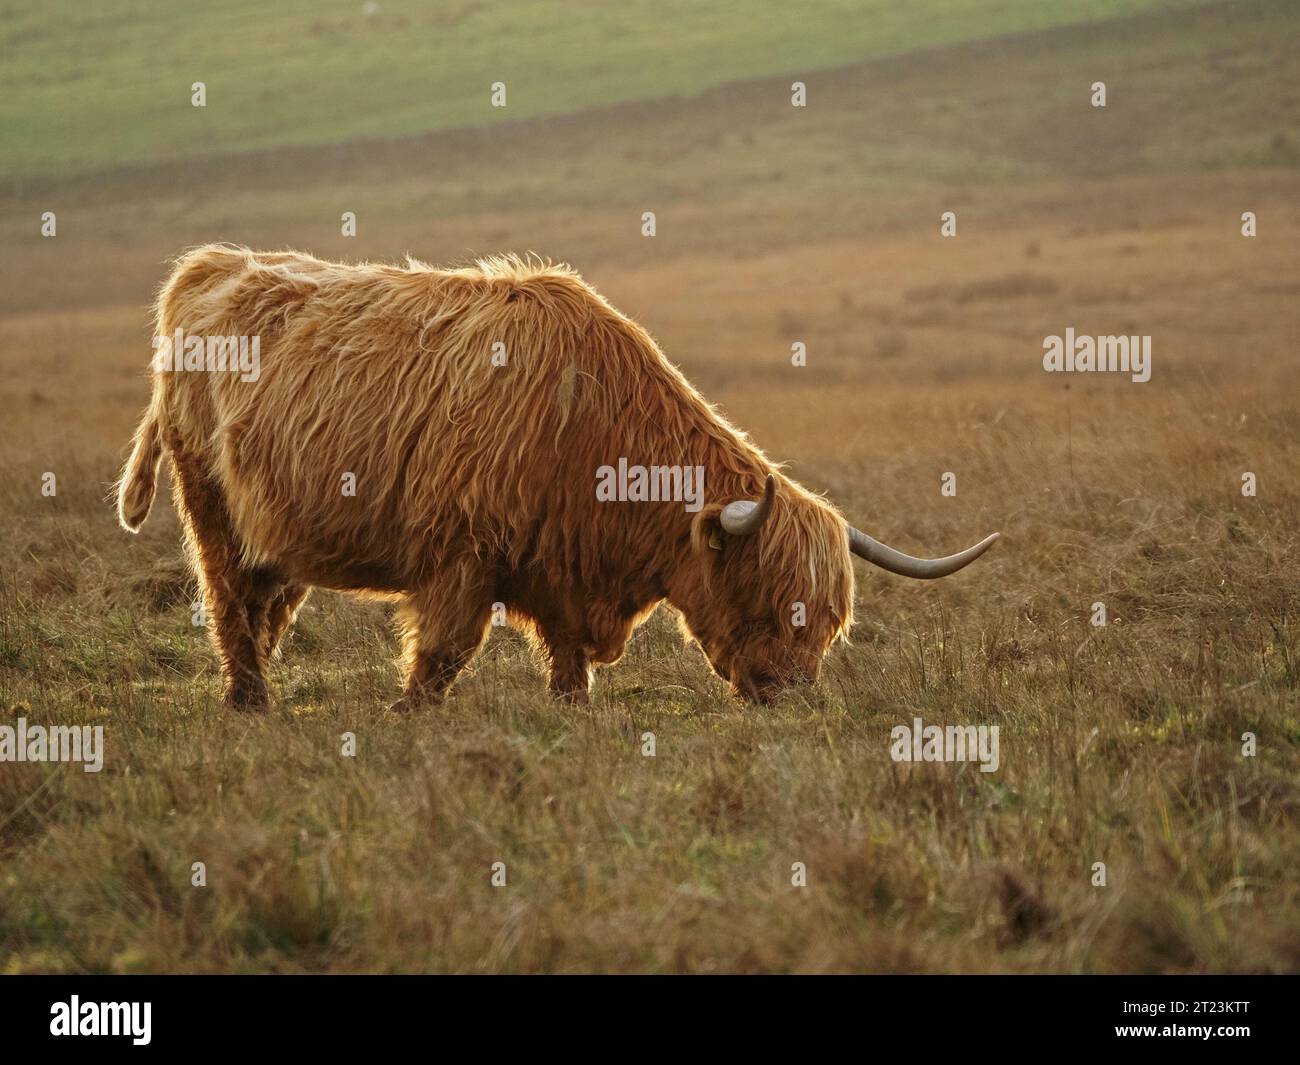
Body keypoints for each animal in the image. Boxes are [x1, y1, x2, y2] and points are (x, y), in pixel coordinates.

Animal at [117, 245, 998, 709]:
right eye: (765, 600)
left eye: (829, 620)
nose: (789, 694)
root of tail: (212, 264)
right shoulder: (462, 555)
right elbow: (443, 650)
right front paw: (406, 712)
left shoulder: (567, 572)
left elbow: (569, 660)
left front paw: (571, 710)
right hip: (209, 502)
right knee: (228, 601)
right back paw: (248, 700)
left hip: (277, 528)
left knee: (264, 604)